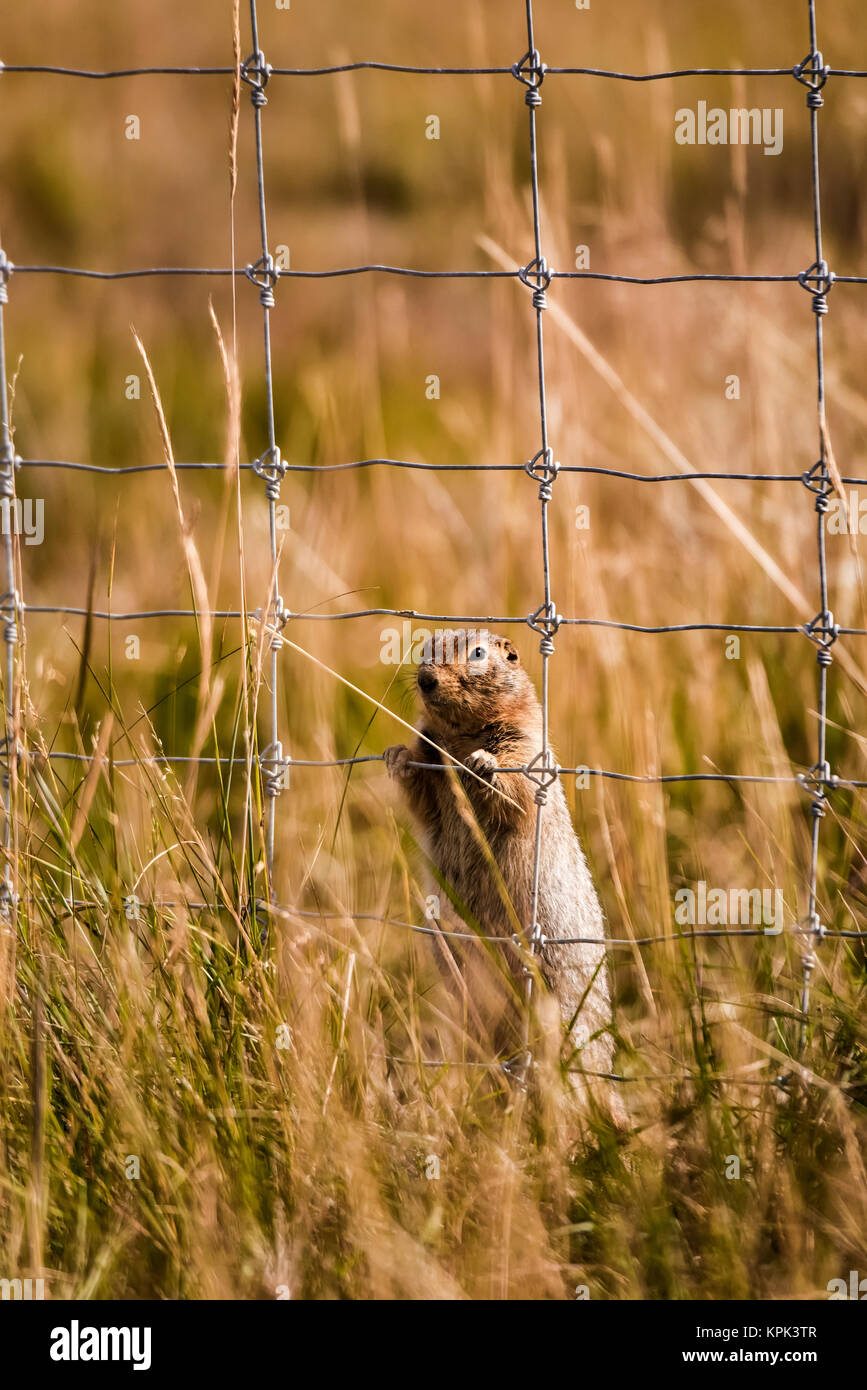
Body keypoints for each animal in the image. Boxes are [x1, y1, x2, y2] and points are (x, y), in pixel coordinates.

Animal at [384, 628, 616, 1088]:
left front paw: (483, 763)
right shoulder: (431, 754)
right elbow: (422, 797)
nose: (425, 679)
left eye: (477, 653)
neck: (460, 737)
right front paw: (397, 757)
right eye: (425, 647)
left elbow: (517, 788)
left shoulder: (526, 745)